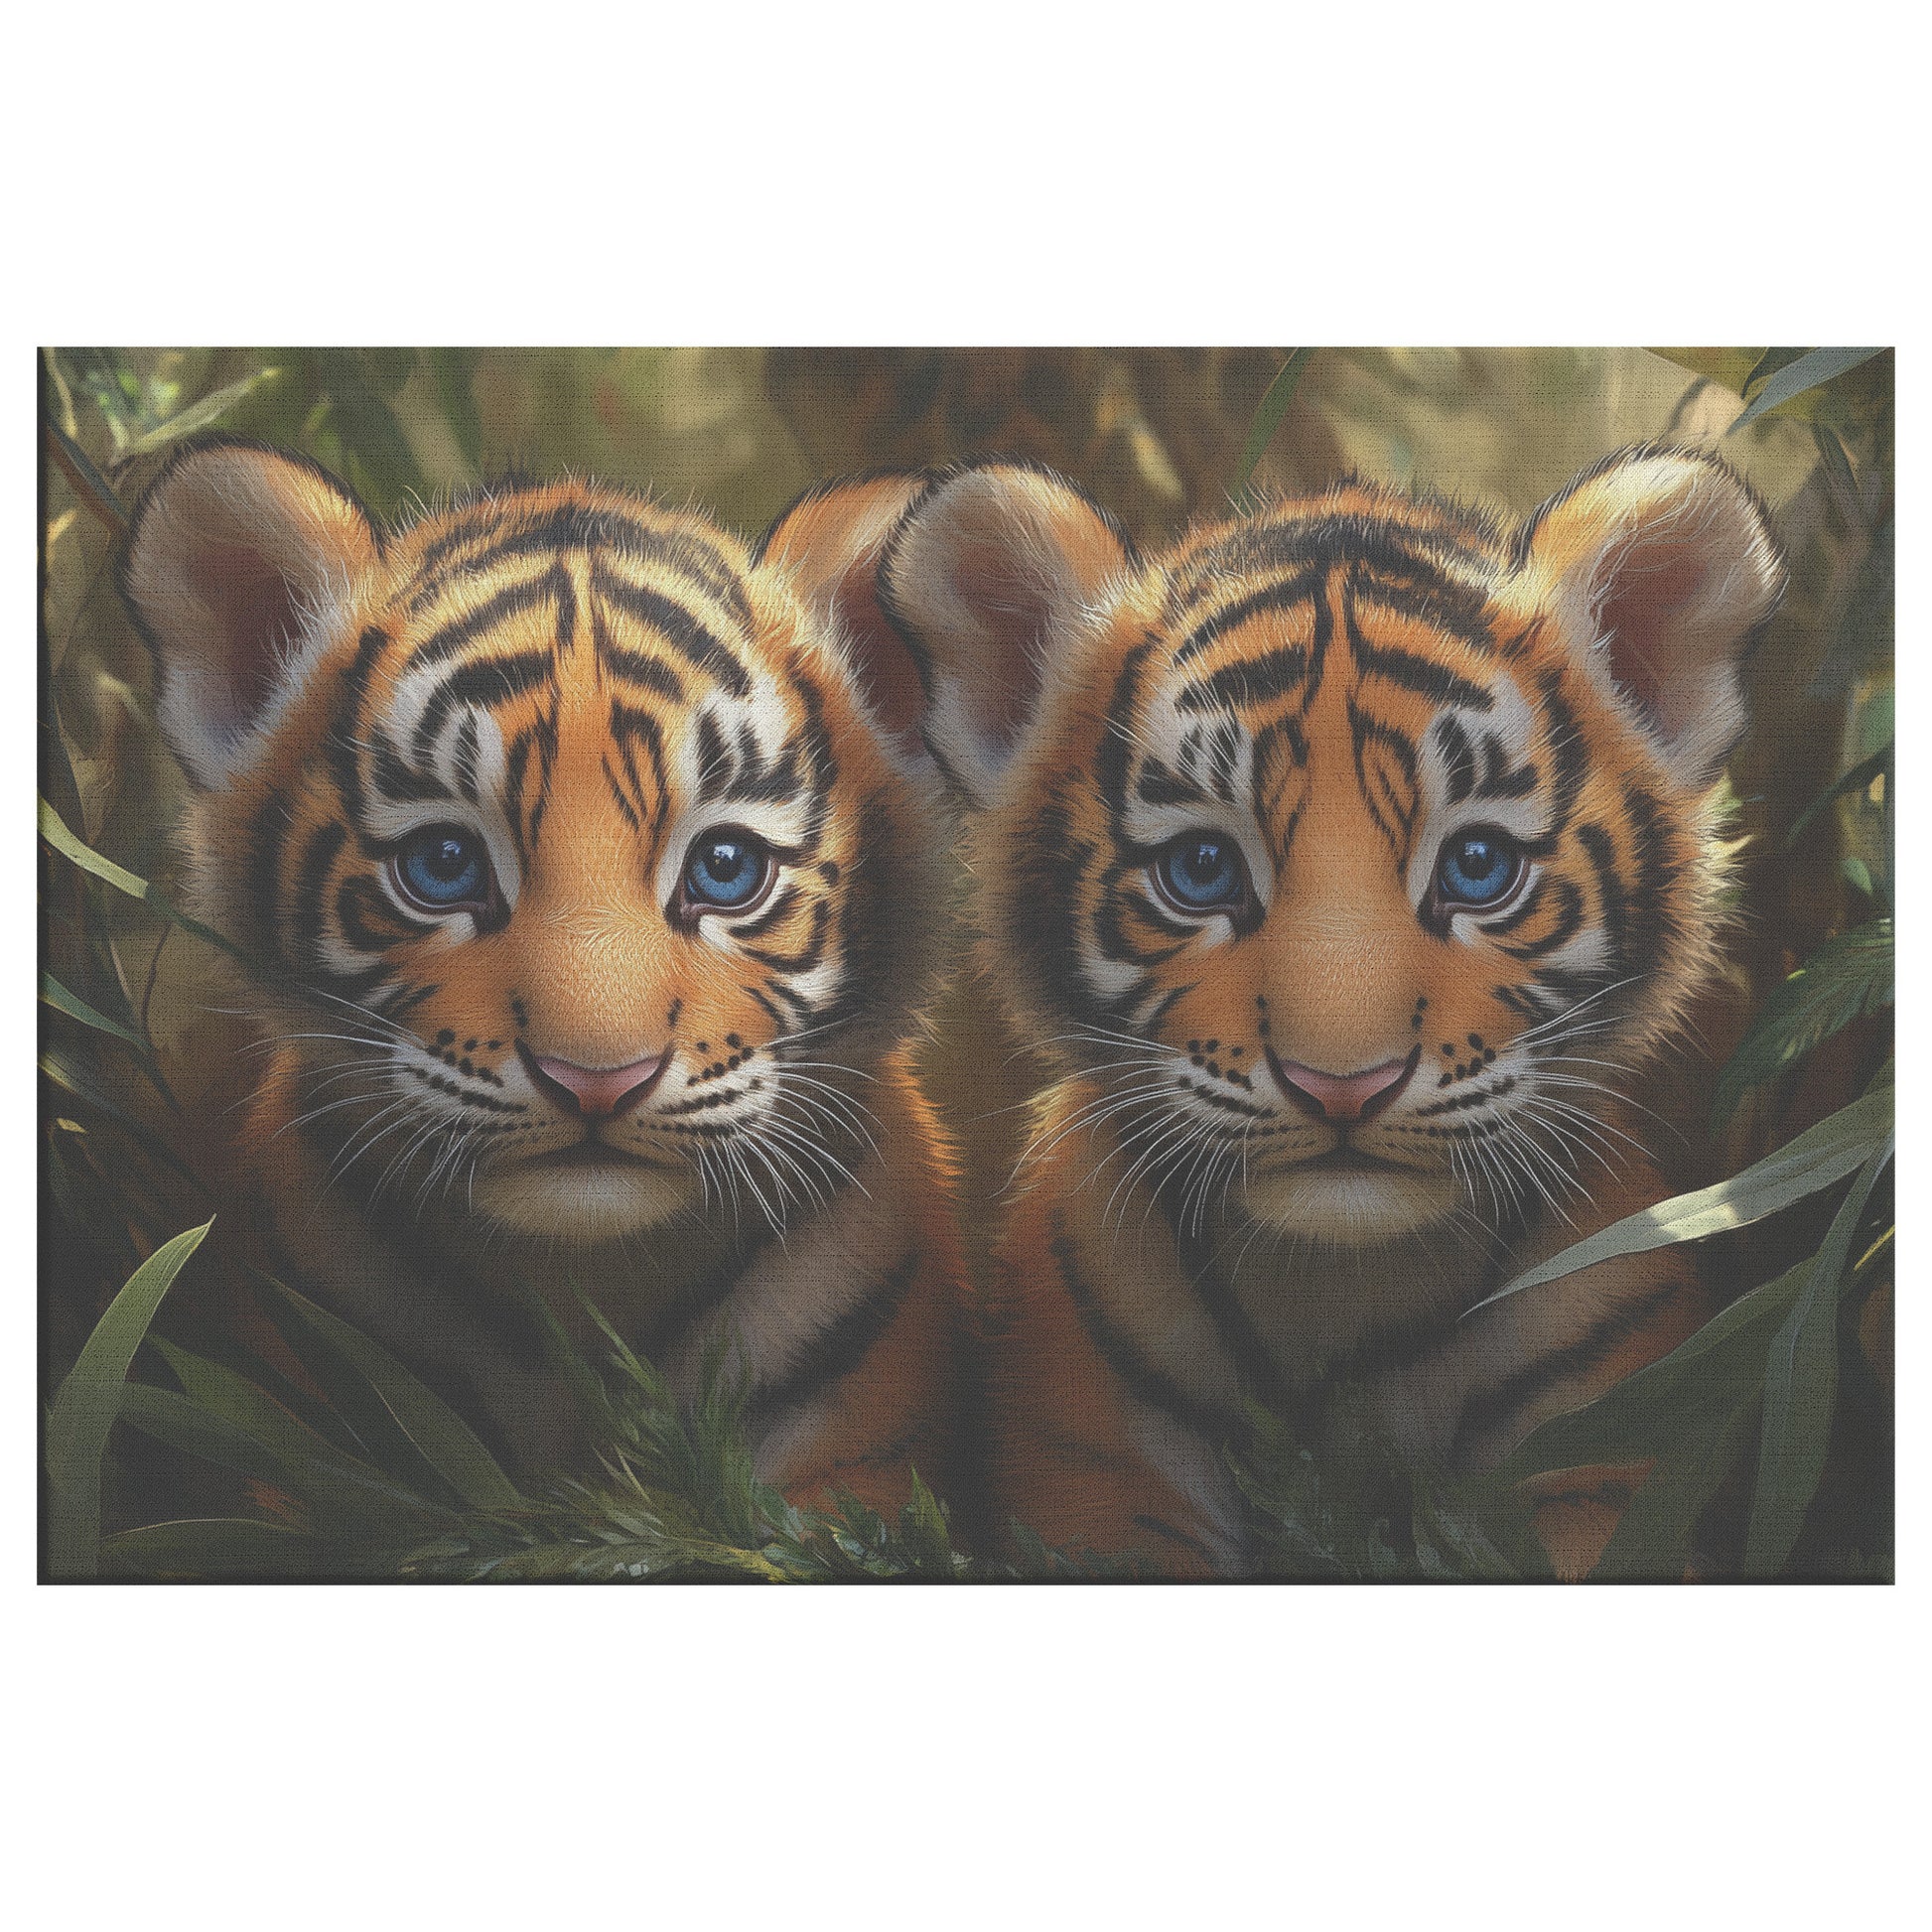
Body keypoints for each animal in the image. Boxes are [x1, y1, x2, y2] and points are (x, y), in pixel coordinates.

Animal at [820, 443, 1785, 1577]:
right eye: (1200, 869)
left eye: (1477, 865)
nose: (1342, 1085)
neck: (1342, 1292)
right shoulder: (1100, 1462)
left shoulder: (1599, 1447)